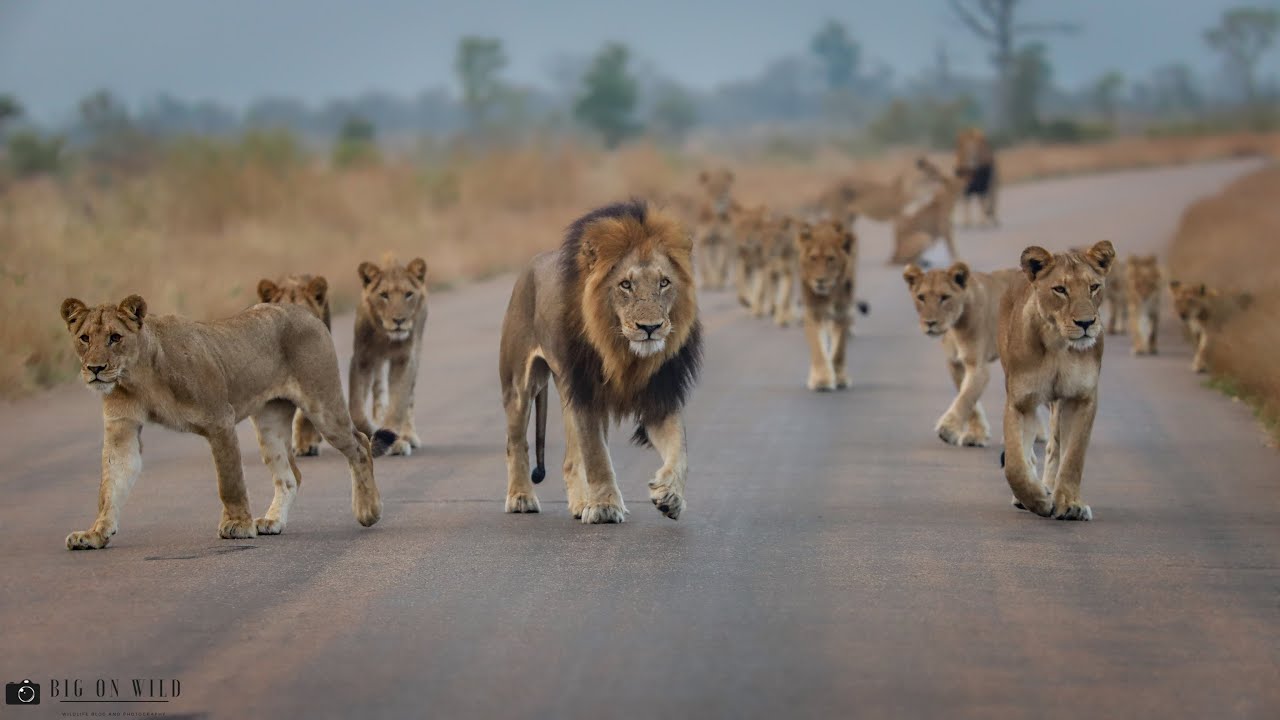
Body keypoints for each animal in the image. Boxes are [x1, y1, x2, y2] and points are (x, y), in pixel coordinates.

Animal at [59, 295, 391, 550]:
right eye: (84, 338)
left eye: (115, 337)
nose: (95, 368)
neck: (137, 376)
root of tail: (304, 312)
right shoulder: (122, 428)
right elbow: (110, 486)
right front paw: (95, 534)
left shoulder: (220, 419)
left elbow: (229, 481)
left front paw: (238, 525)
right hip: (269, 421)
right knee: (290, 475)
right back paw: (273, 521)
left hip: (322, 403)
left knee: (360, 444)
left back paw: (368, 510)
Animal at [351, 257, 429, 456]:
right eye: (384, 295)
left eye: (408, 294)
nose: (399, 320)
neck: (385, 337)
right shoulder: (362, 358)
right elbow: (357, 410)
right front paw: (372, 429)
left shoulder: (405, 359)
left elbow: (398, 402)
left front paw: (395, 441)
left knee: (409, 398)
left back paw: (409, 435)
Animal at [498, 199, 702, 524]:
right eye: (626, 284)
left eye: (664, 282)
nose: (650, 327)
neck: (625, 354)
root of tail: (531, 264)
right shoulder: (588, 395)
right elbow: (597, 455)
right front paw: (605, 506)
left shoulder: (660, 396)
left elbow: (679, 450)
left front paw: (670, 496)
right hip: (519, 385)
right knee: (516, 442)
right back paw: (521, 497)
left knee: (570, 460)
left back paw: (581, 503)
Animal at [903, 261, 1022, 447]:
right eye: (921, 297)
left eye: (945, 297)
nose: (930, 323)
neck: (955, 326)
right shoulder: (955, 363)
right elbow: (967, 397)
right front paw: (976, 435)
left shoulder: (977, 366)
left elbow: (966, 397)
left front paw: (947, 430)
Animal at [998, 240, 1115, 521]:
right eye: (1060, 289)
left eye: (1094, 287)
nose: (1086, 323)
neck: (1058, 345)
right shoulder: (1020, 402)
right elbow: (1014, 465)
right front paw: (1037, 500)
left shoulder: (1081, 398)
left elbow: (1073, 457)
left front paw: (1070, 504)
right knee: (1029, 452)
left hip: (1059, 403)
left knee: (1055, 447)